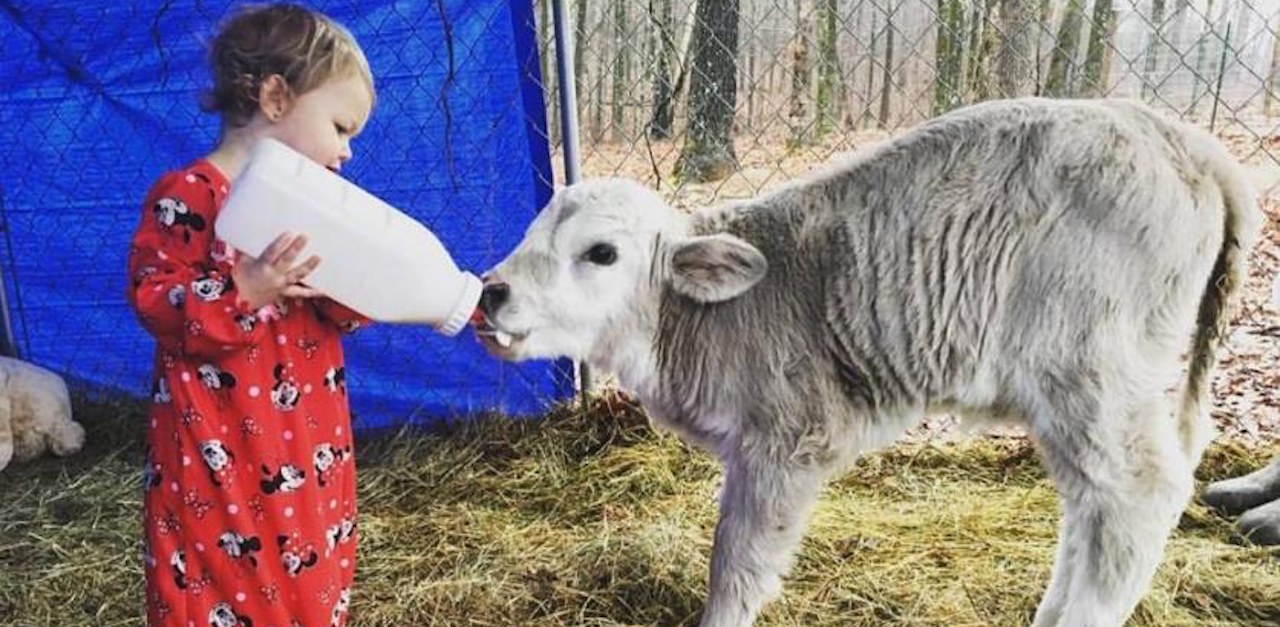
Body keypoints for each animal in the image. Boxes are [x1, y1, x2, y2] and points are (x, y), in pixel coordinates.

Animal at [474, 98, 1261, 627]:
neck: (702, 317)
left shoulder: (784, 444)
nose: (491, 291)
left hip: (1091, 374)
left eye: (602, 252)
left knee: (1139, 495)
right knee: (1092, 507)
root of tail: (1183, 142)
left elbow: (735, 565)